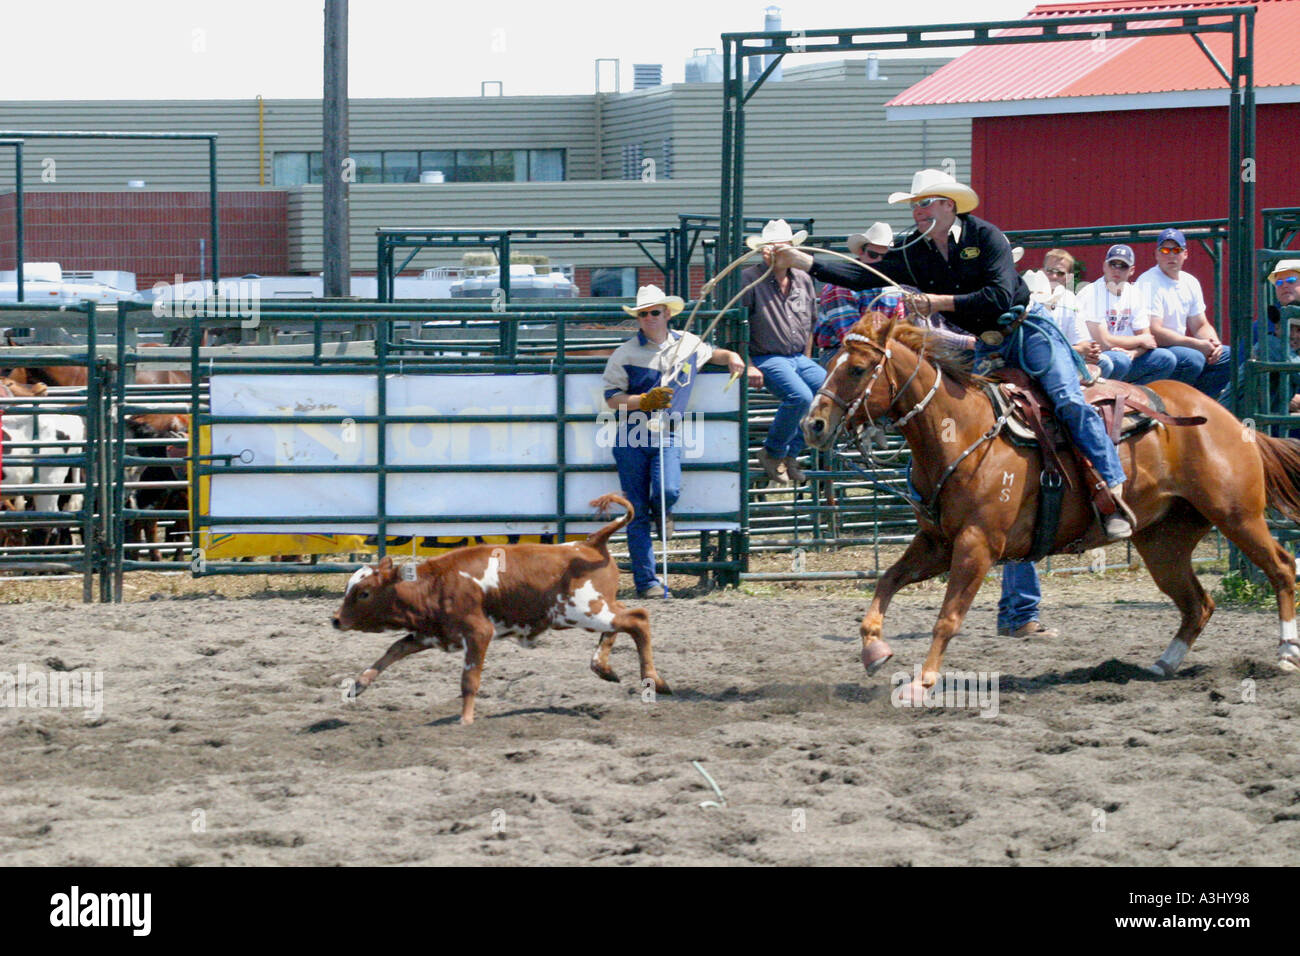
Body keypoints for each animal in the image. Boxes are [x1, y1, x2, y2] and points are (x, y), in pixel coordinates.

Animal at [331, 493, 670, 724]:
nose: (335, 619)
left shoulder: (478, 632)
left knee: (638, 620)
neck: (436, 584)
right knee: (623, 619)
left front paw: (465, 720)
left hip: (584, 610)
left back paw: (655, 681)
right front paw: (358, 685)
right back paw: (603, 667)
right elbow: (392, 651)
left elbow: (469, 680)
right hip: (596, 609)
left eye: (363, 593)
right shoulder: (431, 634)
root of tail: (589, 544)